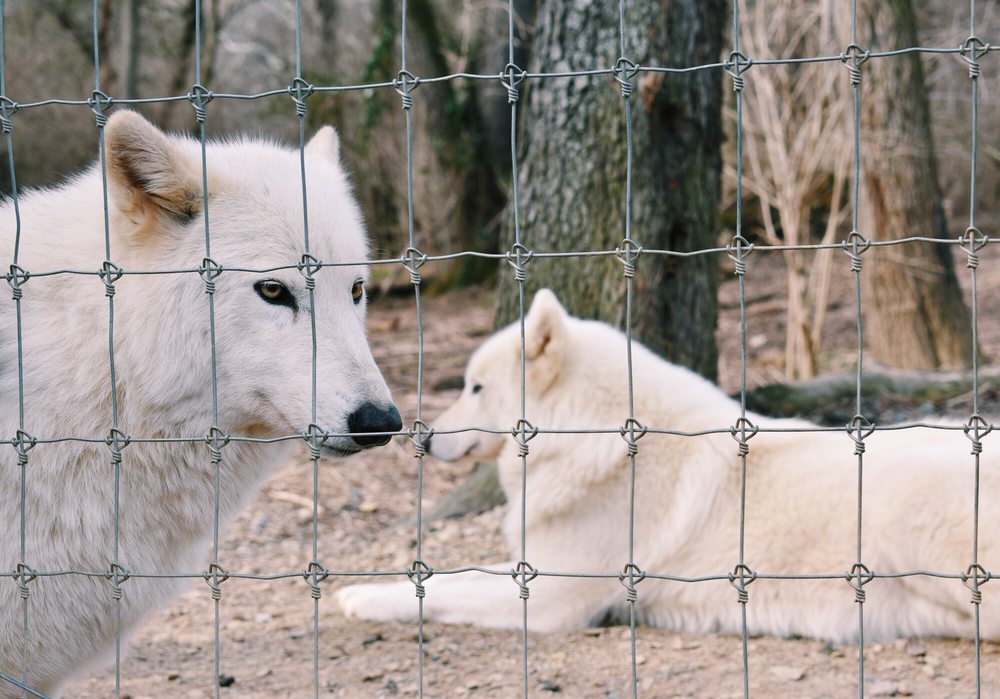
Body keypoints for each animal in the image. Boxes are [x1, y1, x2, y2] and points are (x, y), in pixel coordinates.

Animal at [337, 288, 1000, 643]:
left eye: (476, 389)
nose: (423, 440)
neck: (590, 440)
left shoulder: (551, 599)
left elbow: (437, 596)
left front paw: (360, 602)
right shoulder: (535, 564)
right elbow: (452, 577)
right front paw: (362, 589)